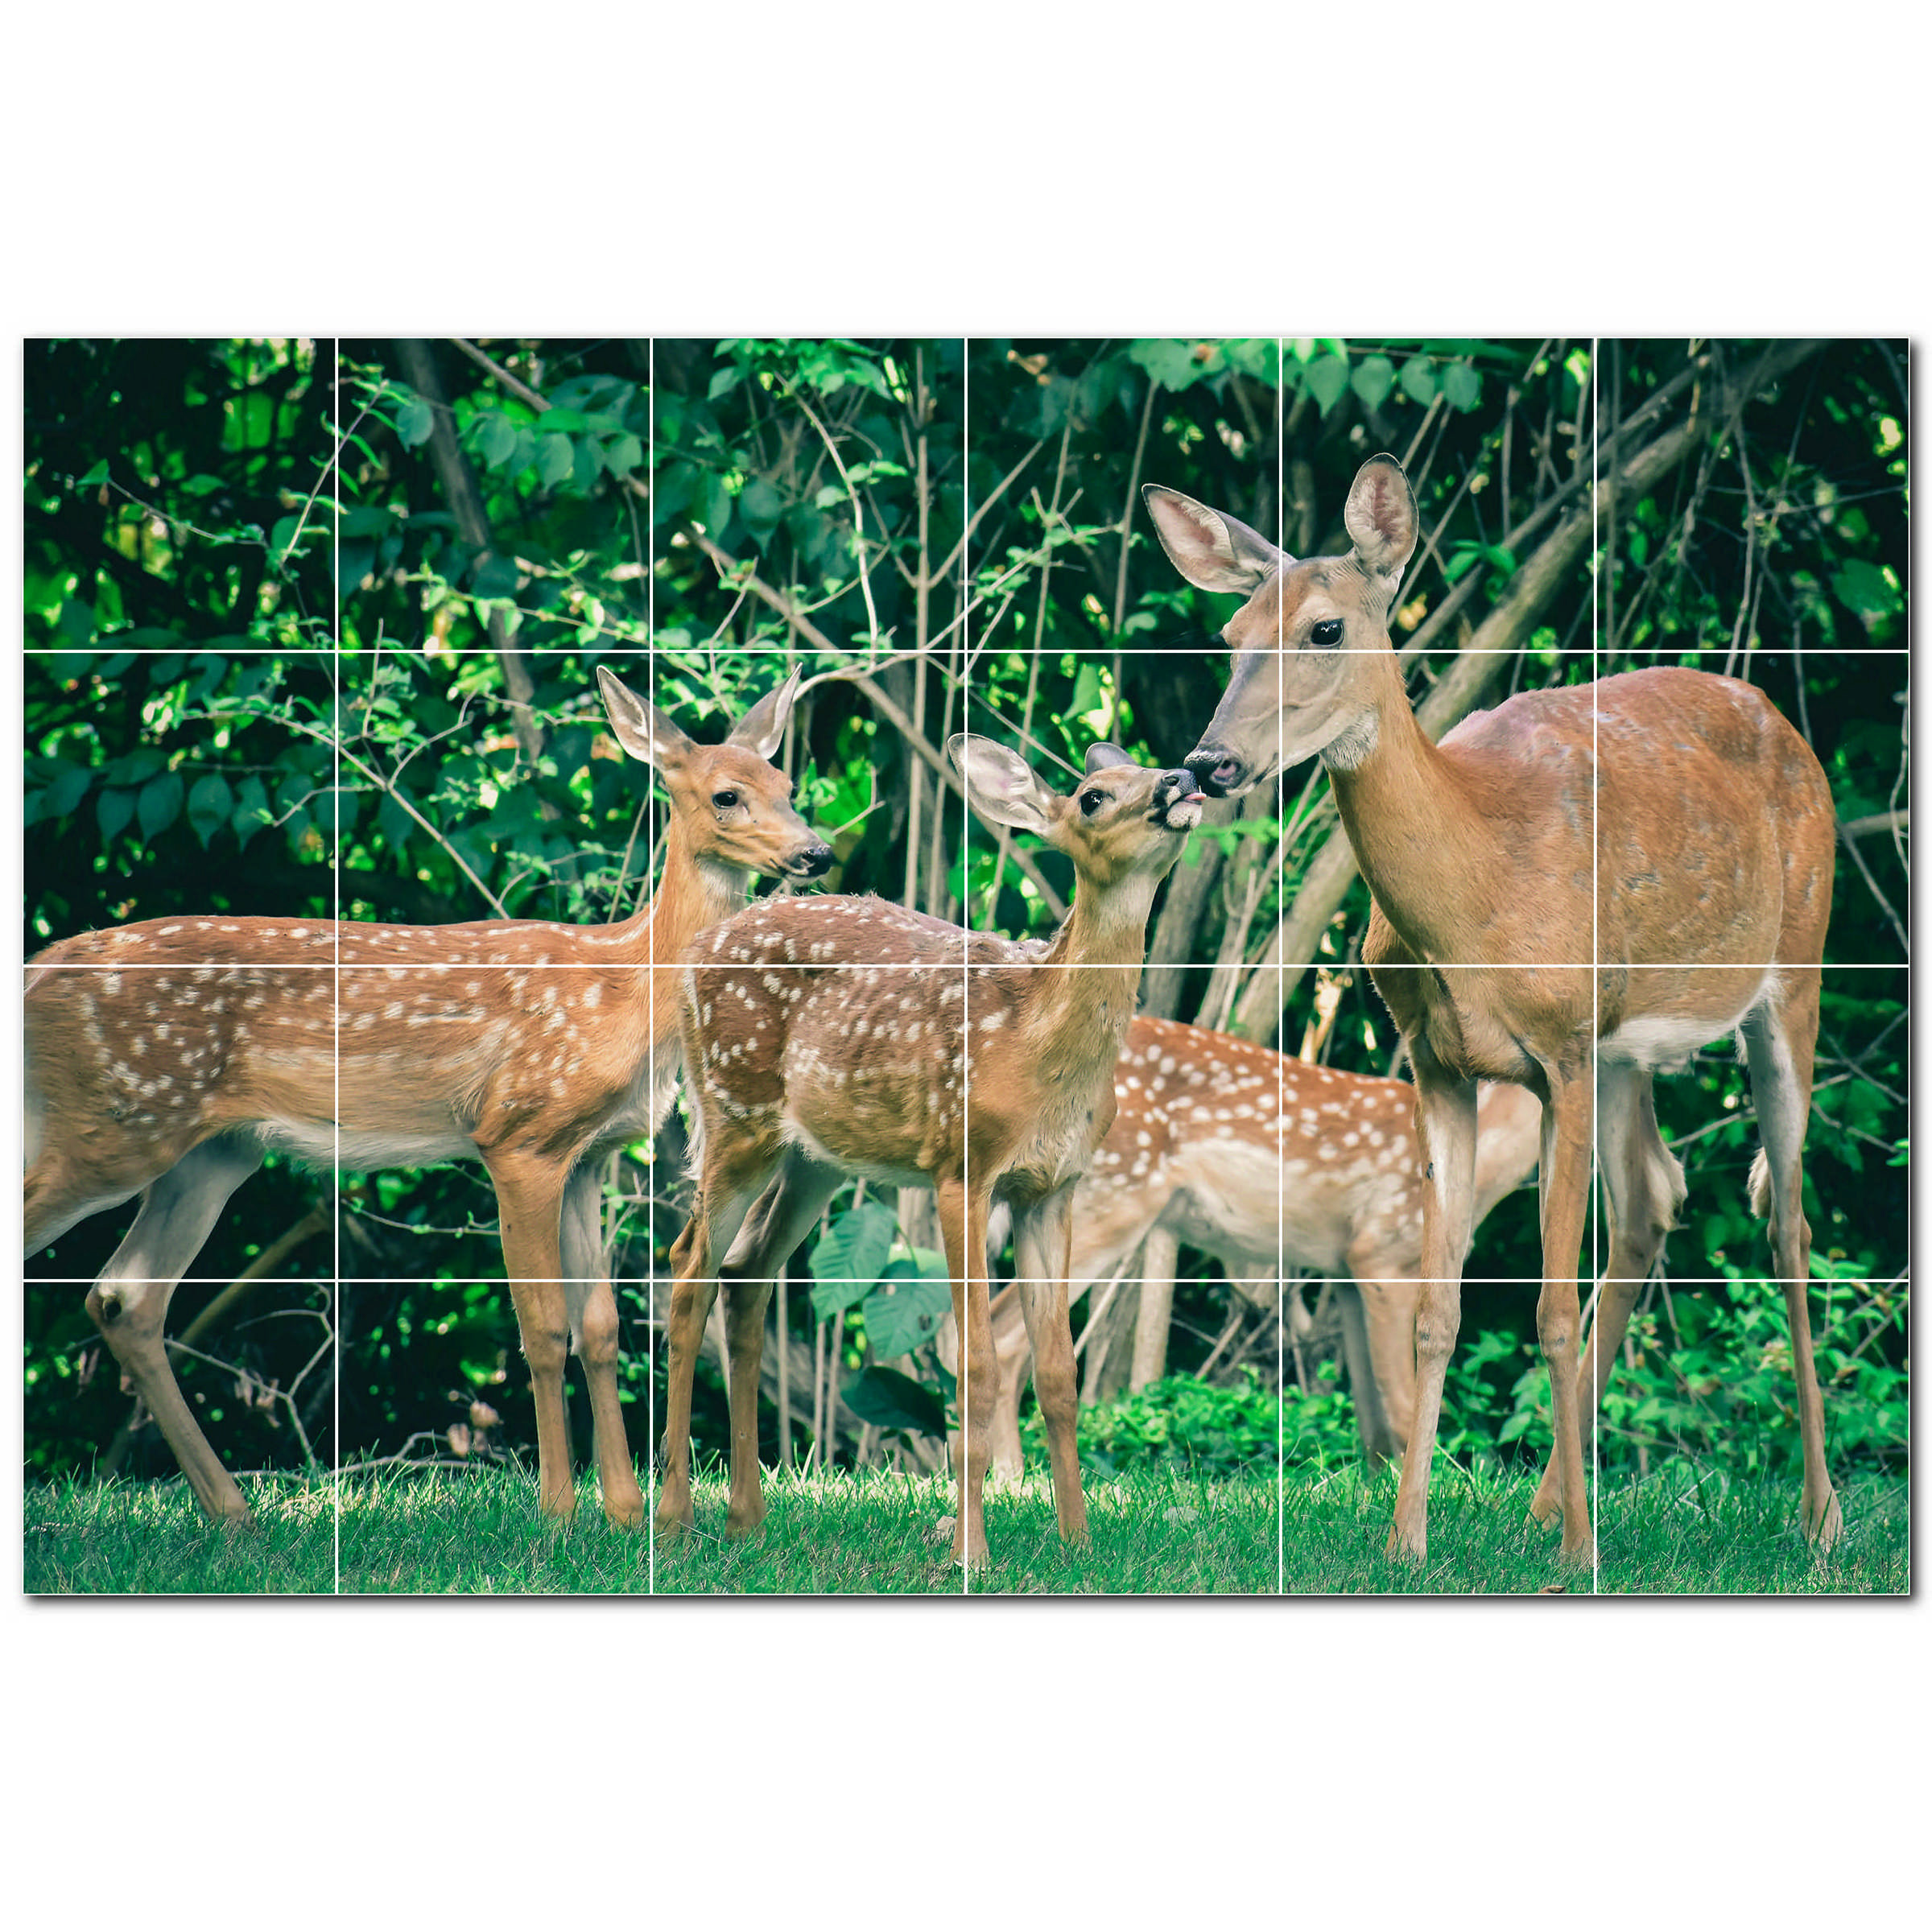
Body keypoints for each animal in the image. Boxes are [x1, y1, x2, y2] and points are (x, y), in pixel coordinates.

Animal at [23, 665, 832, 1534]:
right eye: (726, 795)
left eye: (787, 787)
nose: (815, 852)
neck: (622, 989)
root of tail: (38, 971)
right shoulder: (517, 1133)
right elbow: (544, 1327)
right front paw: (559, 1515)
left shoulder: (588, 1154)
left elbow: (602, 1327)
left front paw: (620, 1513)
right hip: (113, 1123)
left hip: (209, 1150)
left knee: (126, 1298)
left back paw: (236, 1515)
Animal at [656, 736, 1204, 1568]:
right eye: (1093, 797)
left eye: (1150, 765)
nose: (1183, 777)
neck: (1038, 1048)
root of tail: (690, 958)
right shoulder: (960, 1165)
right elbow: (975, 1363)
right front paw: (970, 1552)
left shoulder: (1055, 1186)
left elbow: (1058, 1373)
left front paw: (1077, 1542)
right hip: (732, 1109)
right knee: (689, 1268)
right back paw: (672, 1521)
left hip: (814, 1157)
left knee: (746, 1271)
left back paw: (746, 1521)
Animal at [985, 1016, 1546, 1475]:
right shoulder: (1384, 1251)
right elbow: (1403, 1408)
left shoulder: (1344, 1269)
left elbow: (1370, 1420)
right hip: (1110, 1201)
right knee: (1005, 1337)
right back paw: (1014, 1481)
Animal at [1145, 455, 1840, 1567]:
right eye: (1230, 635)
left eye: (1326, 629)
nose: (1210, 765)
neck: (1475, 890)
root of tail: (1787, 726)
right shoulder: (1440, 1061)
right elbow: (1437, 1311)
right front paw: (1407, 1541)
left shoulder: (1559, 1051)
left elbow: (1548, 1308)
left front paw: (1582, 1560)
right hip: (1626, 1046)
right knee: (1652, 1203)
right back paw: (1546, 1504)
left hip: (1794, 971)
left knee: (1785, 1222)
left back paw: (1816, 1518)